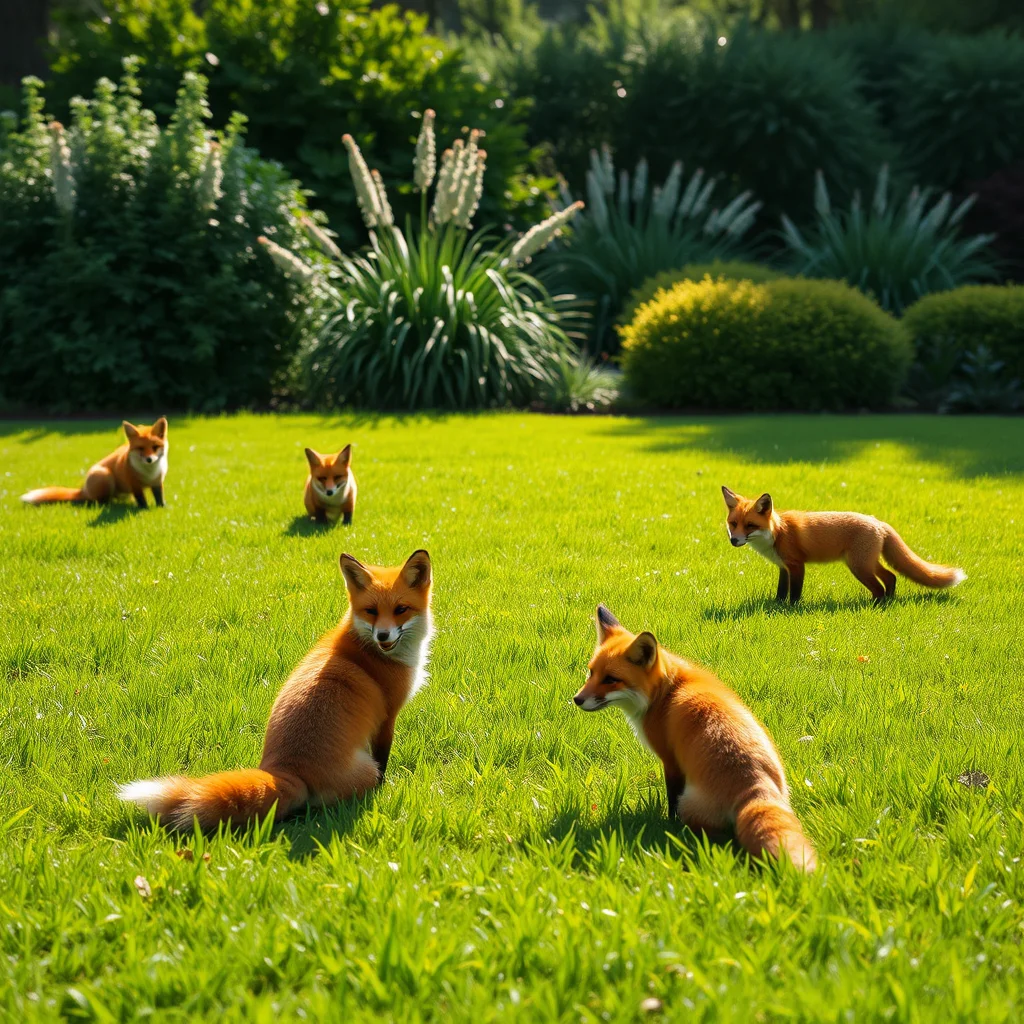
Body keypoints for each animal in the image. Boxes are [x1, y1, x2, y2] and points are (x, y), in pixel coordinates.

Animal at [20, 418, 169, 509]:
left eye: (155, 447)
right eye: (141, 448)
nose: (149, 459)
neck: (149, 473)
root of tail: (83, 489)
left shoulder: (157, 481)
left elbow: (159, 497)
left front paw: (162, 507)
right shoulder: (134, 484)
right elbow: (141, 499)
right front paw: (143, 509)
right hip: (105, 476)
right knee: (99, 501)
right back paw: (111, 505)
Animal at [118, 549, 433, 831]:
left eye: (400, 610)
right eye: (371, 611)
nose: (383, 635)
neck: (369, 650)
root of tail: (282, 771)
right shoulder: (387, 718)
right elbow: (385, 758)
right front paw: (386, 785)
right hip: (365, 768)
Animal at [574, 605, 817, 871]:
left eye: (610, 679)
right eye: (591, 672)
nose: (577, 699)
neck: (665, 692)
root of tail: (755, 788)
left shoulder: (670, 760)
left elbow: (671, 797)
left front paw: (668, 823)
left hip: (689, 803)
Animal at [722, 486, 966, 604]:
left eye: (750, 526)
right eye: (733, 524)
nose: (734, 540)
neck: (777, 532)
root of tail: (877, 521)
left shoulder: (797, 566)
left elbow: (795, 594)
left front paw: (790, 609)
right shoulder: (784, 567)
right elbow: (781, 592)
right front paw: (777, 605)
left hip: (859, 566)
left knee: (879, 587)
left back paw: (875, 606)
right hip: (867, 563)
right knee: (891, 577)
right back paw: (889, 601)